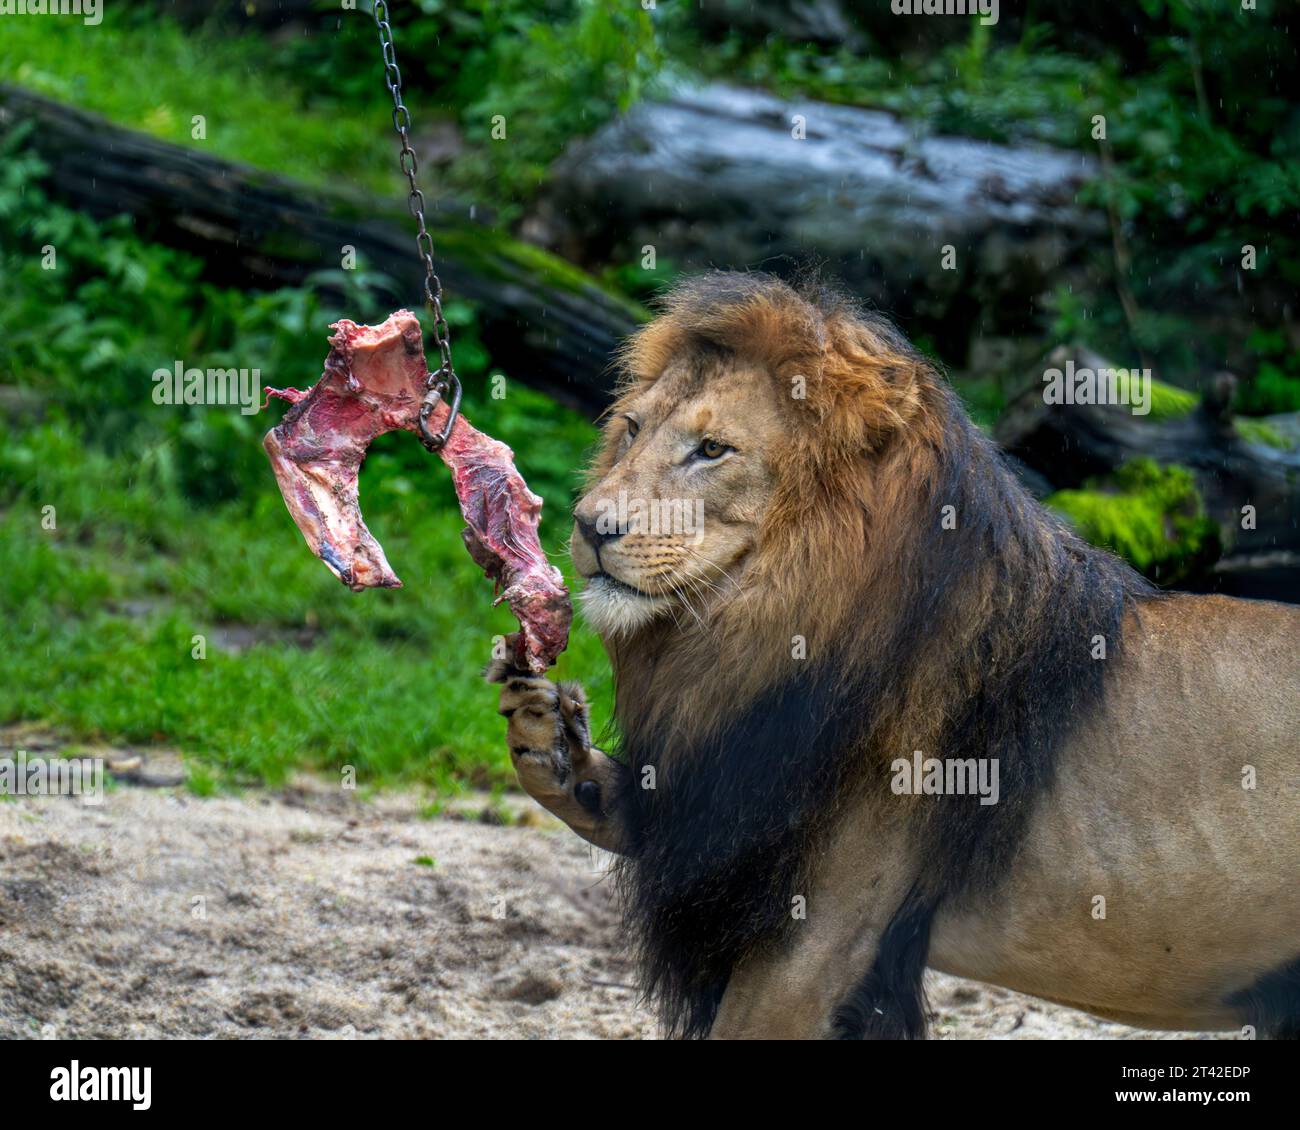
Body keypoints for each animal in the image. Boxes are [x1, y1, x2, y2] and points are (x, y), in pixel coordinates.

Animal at [490, 272, 1300, 1040]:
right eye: (630, 430)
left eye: (712, 450)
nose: (588, 524)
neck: (747, 633)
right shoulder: (710, 817)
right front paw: (545, 734)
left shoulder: (814, 944)